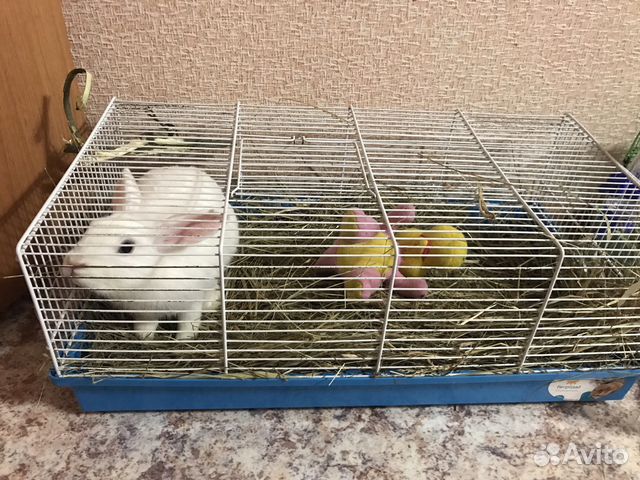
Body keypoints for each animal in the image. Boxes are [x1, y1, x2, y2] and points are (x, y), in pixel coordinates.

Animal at [61, 166, 239, 340]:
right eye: (91, 227)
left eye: (127, 247)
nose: (72, 264)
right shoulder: (144, 311)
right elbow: (147, 323)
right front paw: (144, 337)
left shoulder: (191, 301)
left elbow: (189, 321)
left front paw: (185, 339)